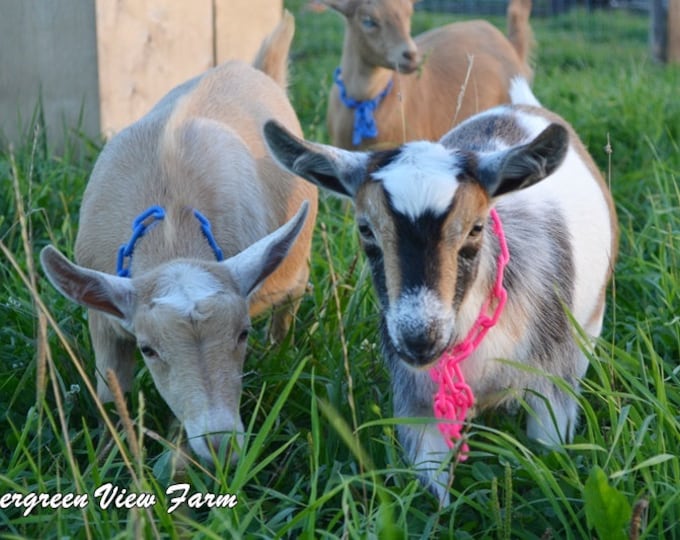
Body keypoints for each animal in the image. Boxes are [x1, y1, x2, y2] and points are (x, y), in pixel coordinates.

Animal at [40, 12, 318, 461]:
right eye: (149, 349)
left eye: (242, 333)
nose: (220, 445)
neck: (172, 232)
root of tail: (254, 69)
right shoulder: (103, 319)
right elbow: (110, 394)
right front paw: (110, 455)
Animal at [263, 77, 618, 502]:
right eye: (365, 229)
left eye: (477, 227)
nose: (420, 338)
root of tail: (522, 105)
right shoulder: (418, 402)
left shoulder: (553, 386)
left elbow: (547, 459)